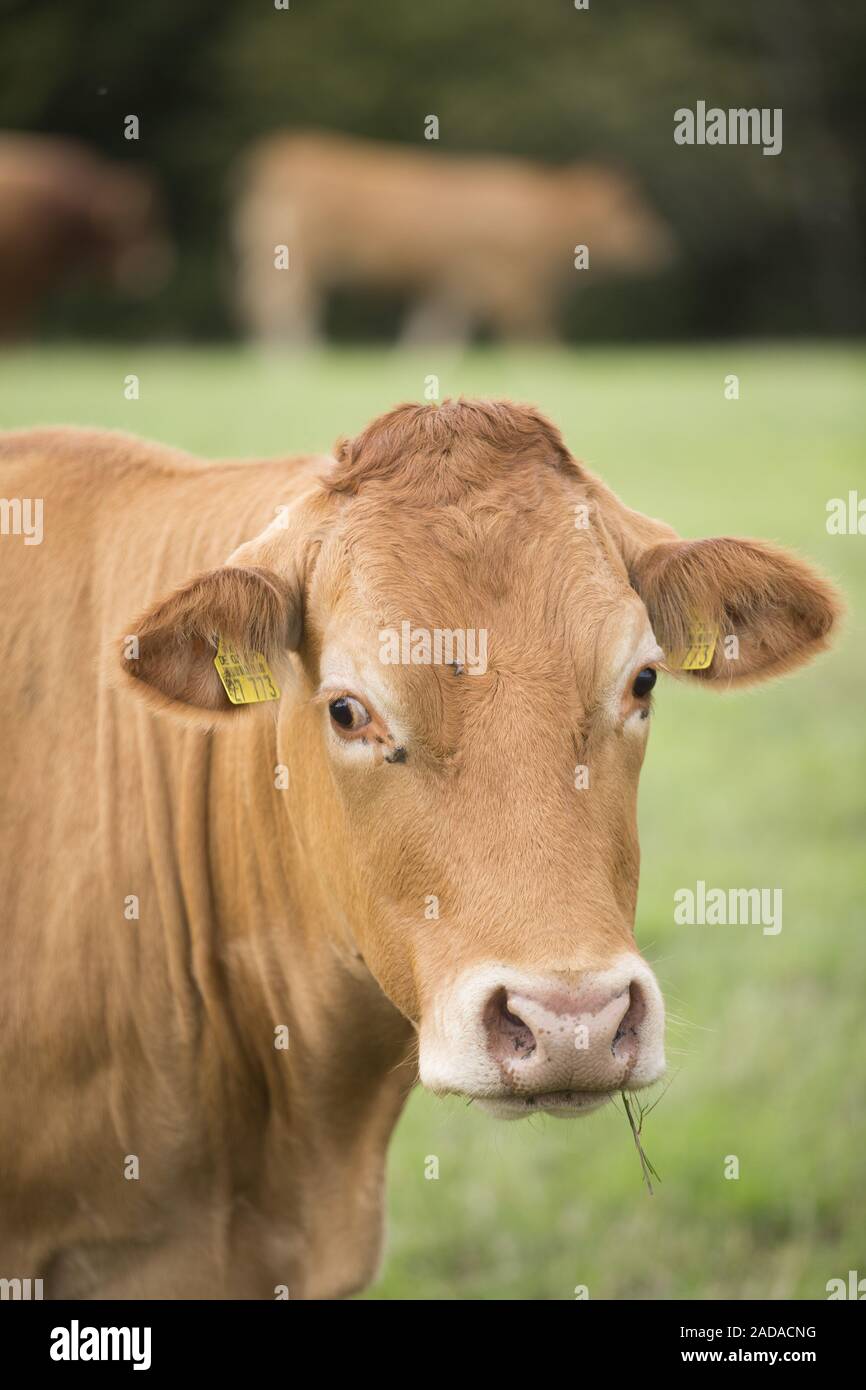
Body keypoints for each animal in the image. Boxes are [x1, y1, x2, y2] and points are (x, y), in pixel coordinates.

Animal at [232, 131, 675, 346]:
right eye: (630, 210)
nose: (660, 247)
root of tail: (290, 149)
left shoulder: (455, 283)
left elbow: (433, 331)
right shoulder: (511, 281)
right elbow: (533, 330)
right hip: (295, 254)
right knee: (281, 302)